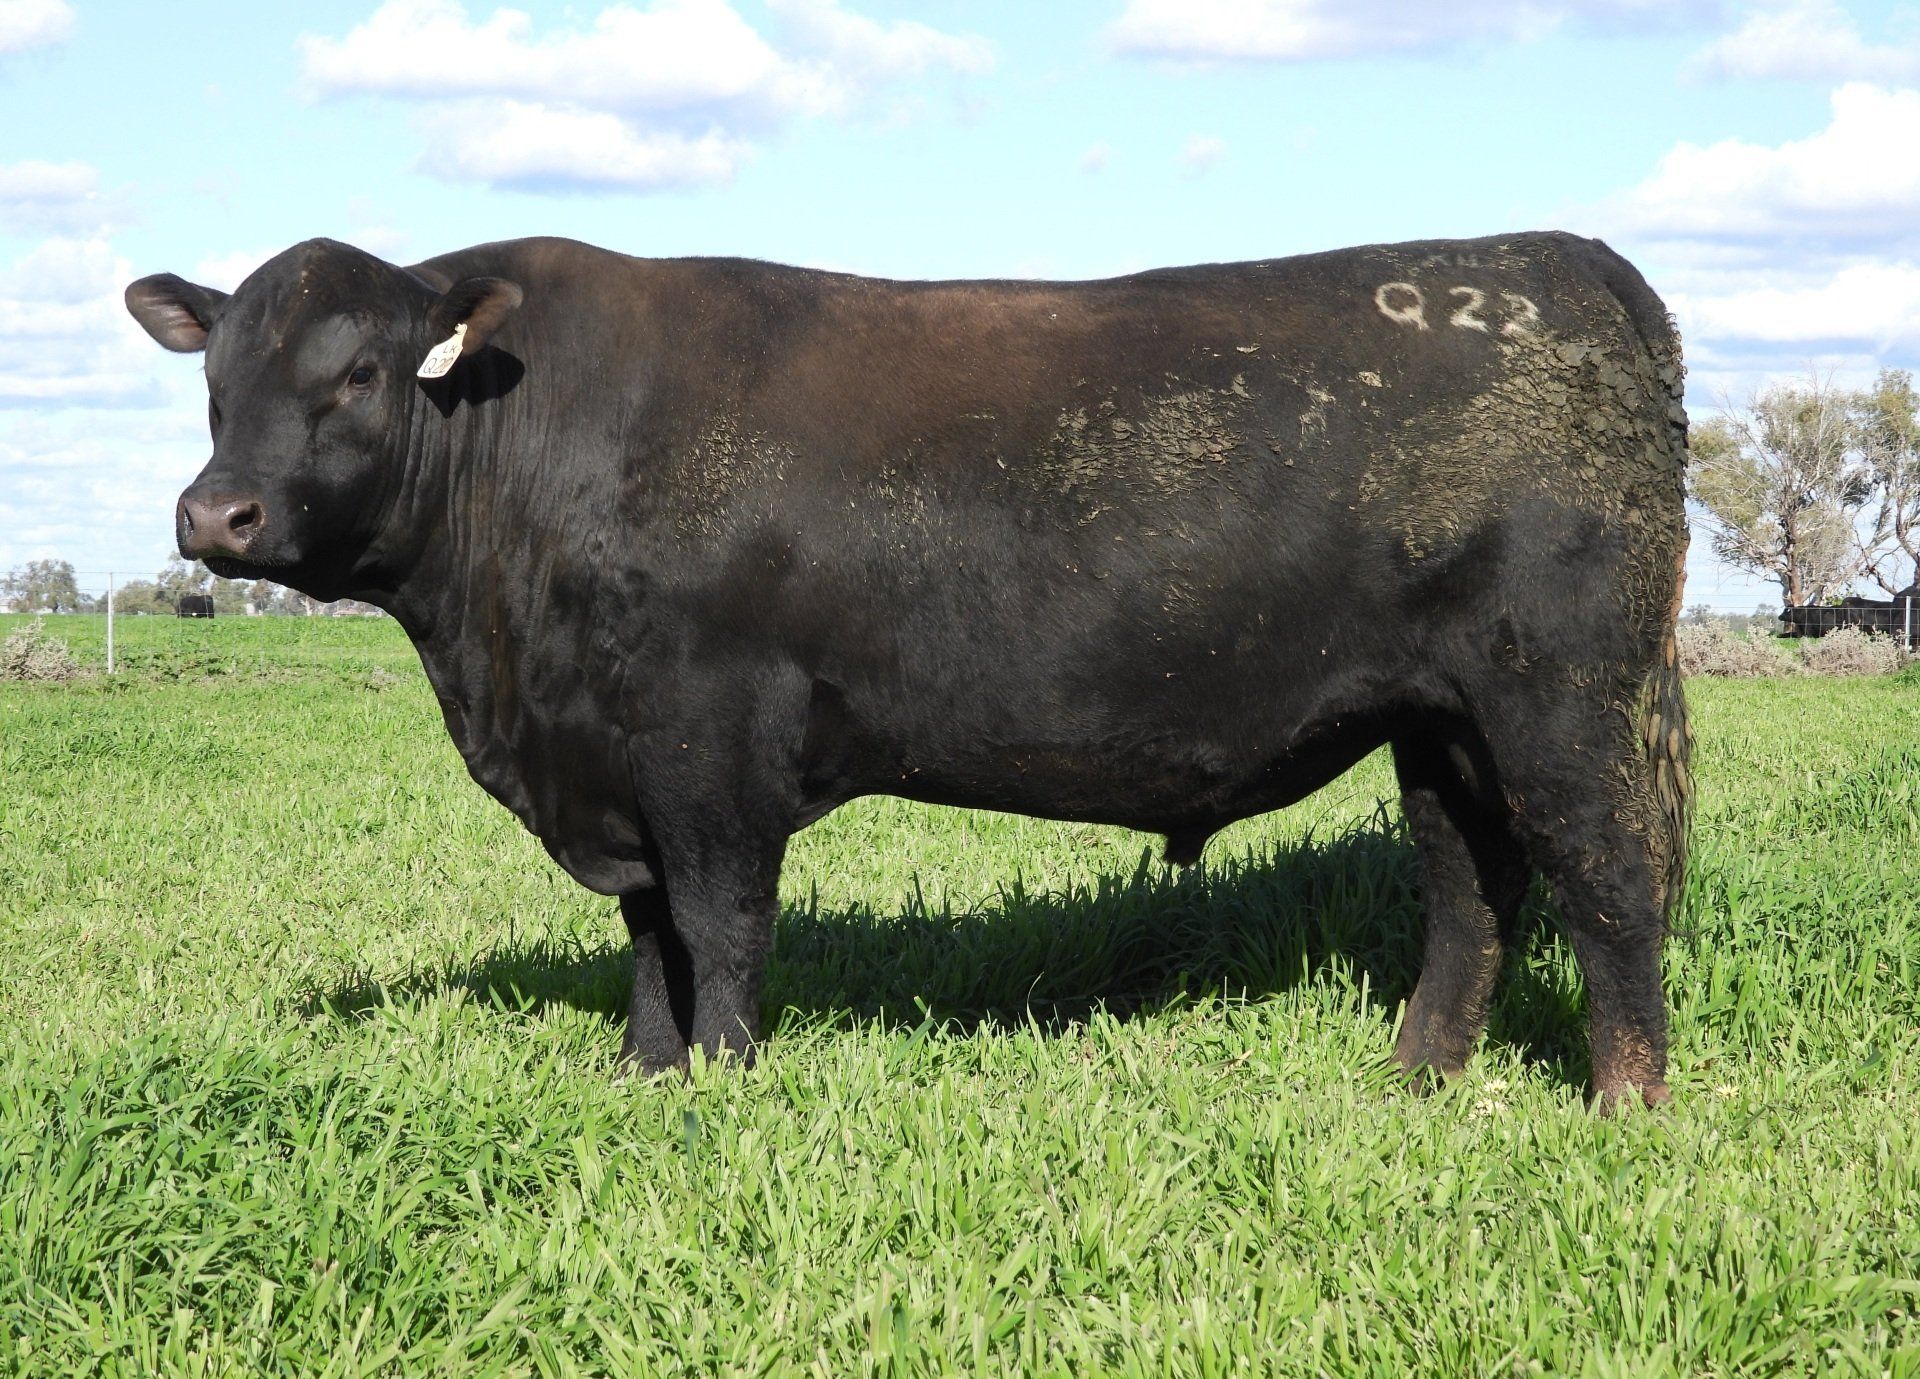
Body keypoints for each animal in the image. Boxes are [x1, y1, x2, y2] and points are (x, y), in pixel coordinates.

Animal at [125, 231, 1693, 1108]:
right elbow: (647, 930)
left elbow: (720, 923)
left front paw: (723, 1083)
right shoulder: (619, 761)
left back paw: (1626, 1103)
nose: (216, 515)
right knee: (1471, 885)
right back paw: (1417, 1079)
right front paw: (643, 1075)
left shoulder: (708, 744)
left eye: (360, 375)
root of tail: (1569, 262)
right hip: (1440, 718)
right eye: (214, 383)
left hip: (1561, 694)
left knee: (1607, 875)